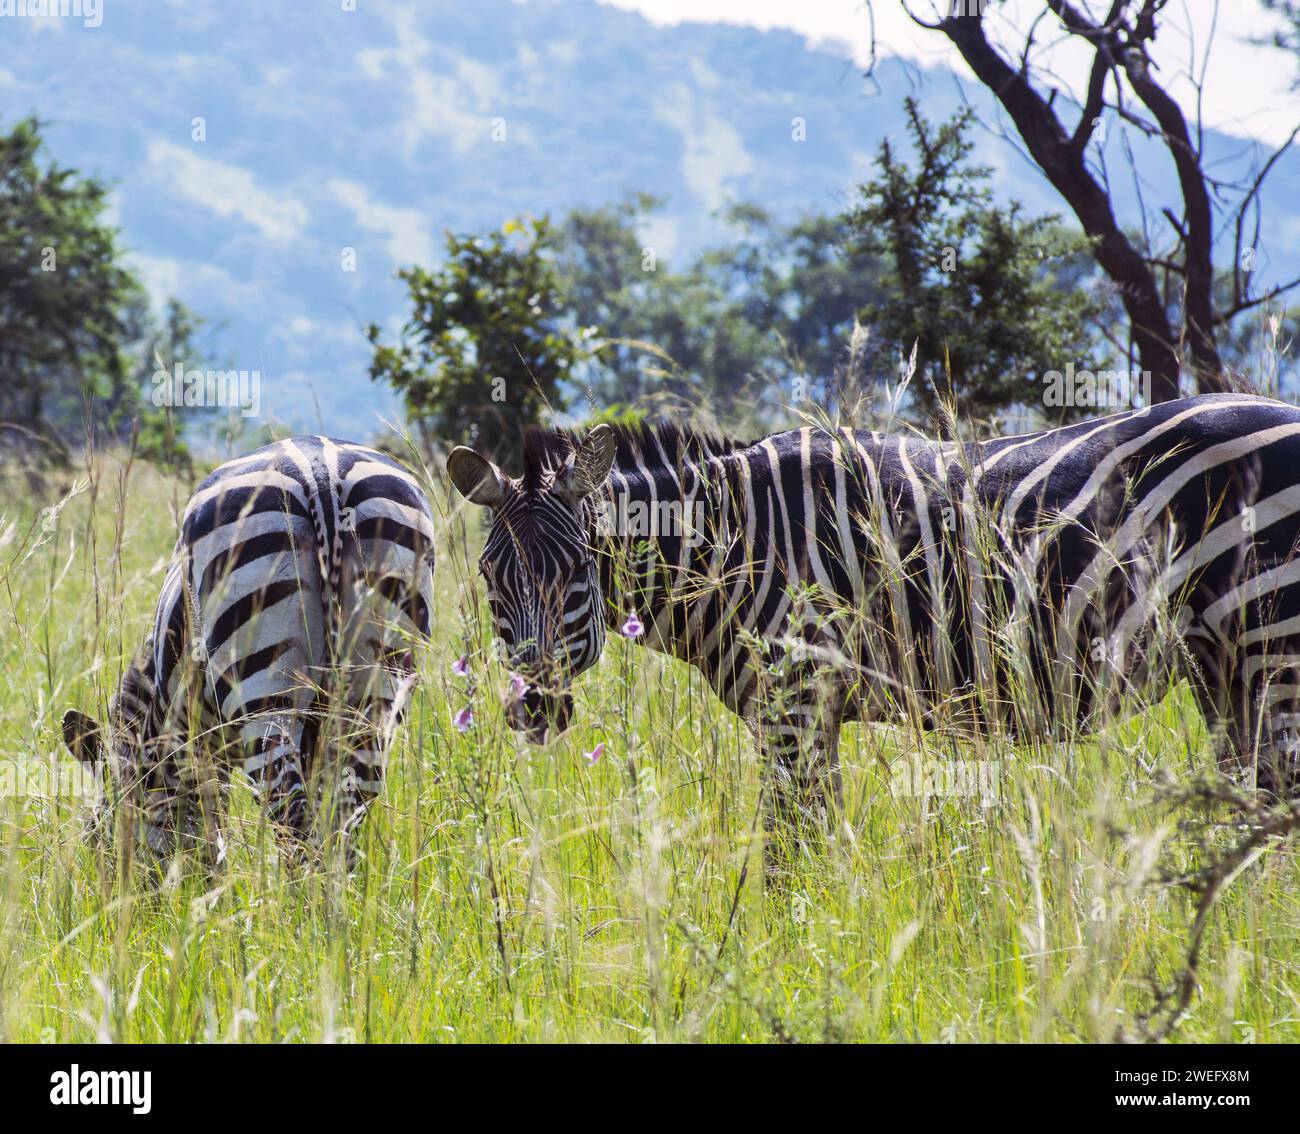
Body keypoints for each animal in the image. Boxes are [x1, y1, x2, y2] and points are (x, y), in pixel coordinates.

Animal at [61, 436, 436, 868]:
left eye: (98, 835)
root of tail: (320, 472)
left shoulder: (198, 742)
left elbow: (207, 832)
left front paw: (205, 880)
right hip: (376, 687)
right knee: (344, 824)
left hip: (262, 689)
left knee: (293, 821)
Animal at [448, 394, 1300, 867]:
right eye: (490, 579)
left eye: (577, 571)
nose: (533, 708)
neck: (735, 543)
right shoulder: (809, 712)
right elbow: (813, 840)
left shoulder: (794, 699)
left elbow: (786, 848)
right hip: (1224, 667)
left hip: (1270, 640)